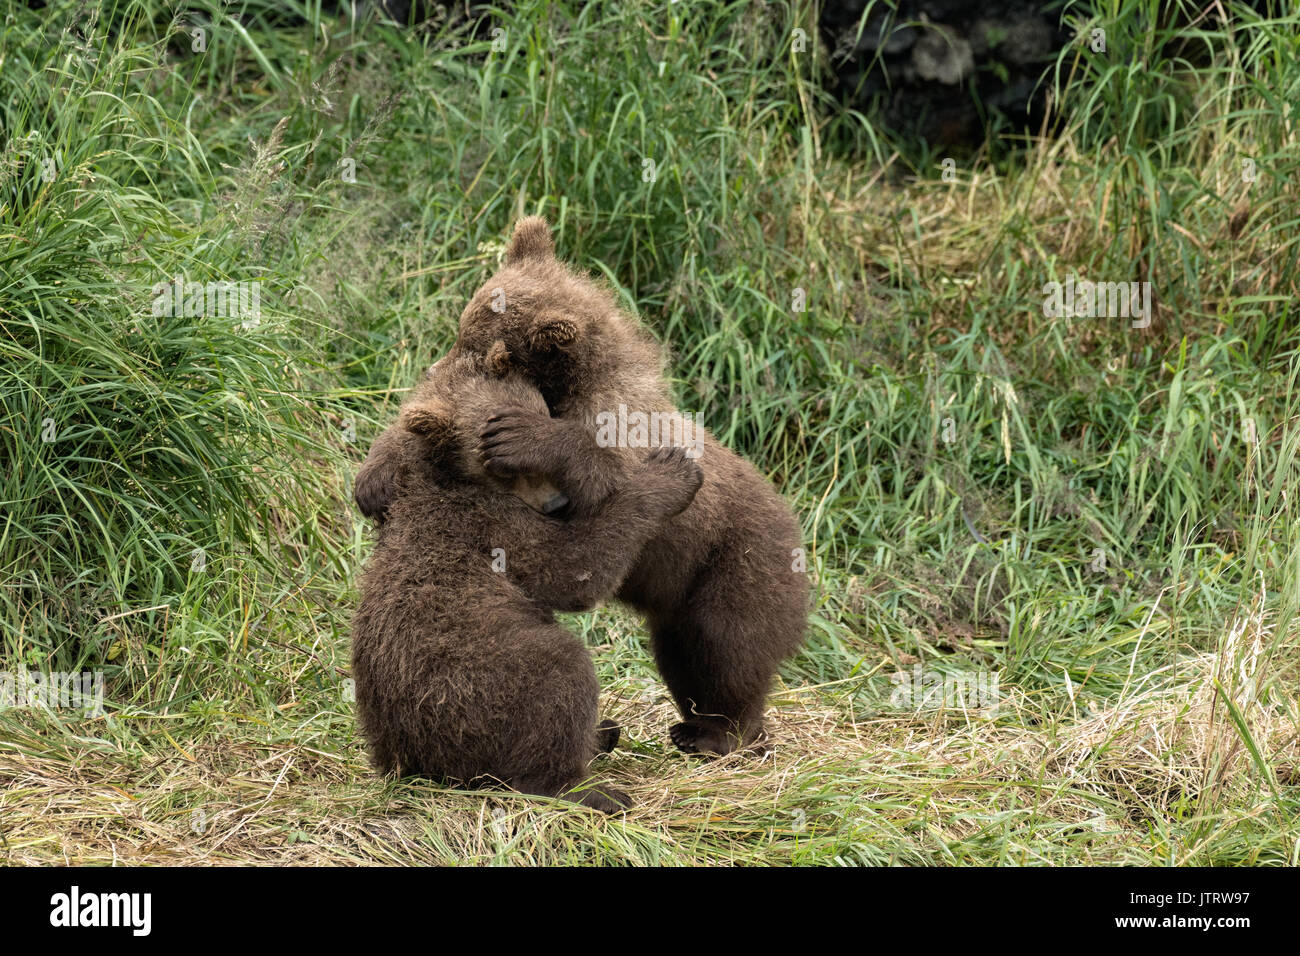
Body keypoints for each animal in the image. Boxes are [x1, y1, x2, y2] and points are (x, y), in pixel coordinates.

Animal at [350, 350, 704, 812]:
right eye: (502, 463)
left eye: (542, 411)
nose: (558, 503)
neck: (450, 476)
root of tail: (413, 762)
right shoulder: (491, 525)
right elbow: (574, 569)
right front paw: (670, 473)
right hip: (474, 689)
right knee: (560, 677)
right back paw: (590, 788)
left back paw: (603, 734)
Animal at [354, 218, 810, 757]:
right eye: (462, 331)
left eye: (488, 348)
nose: (433, 368)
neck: (569, 388)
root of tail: (795, 529)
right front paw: (375, 480)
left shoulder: (624, 423)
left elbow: (607, 482)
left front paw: (525, 436)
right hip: (682, 600)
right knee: (680, 655)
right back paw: (692, 726)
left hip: (737, 561)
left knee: (726, 649)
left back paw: (725, 732)